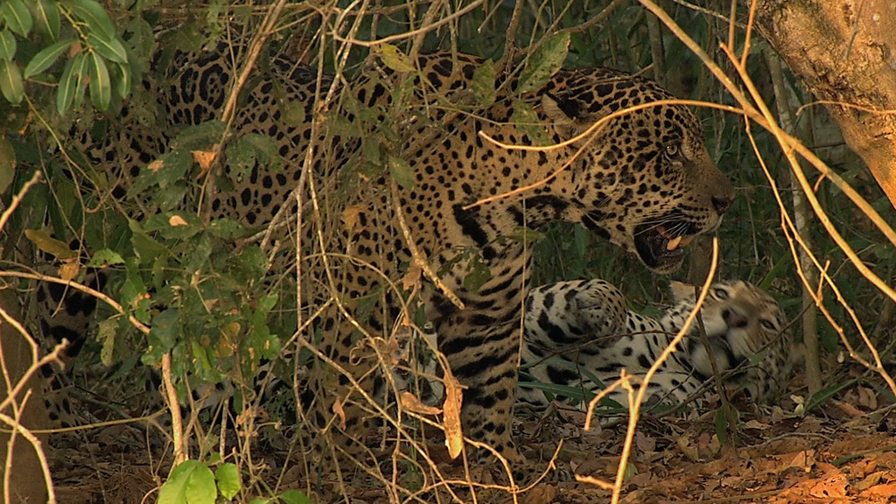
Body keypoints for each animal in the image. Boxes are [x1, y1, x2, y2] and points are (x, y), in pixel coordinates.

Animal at [30, 41, 736, 468]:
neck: (514, 195)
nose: (728, 199)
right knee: (60, 321)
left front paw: (490, 468)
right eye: (667, 152)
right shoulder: (357, 307)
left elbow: (489, 397)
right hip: (95, 236)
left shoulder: (486, 313)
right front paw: (346, 467)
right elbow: (345, 398)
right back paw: (58, 428)